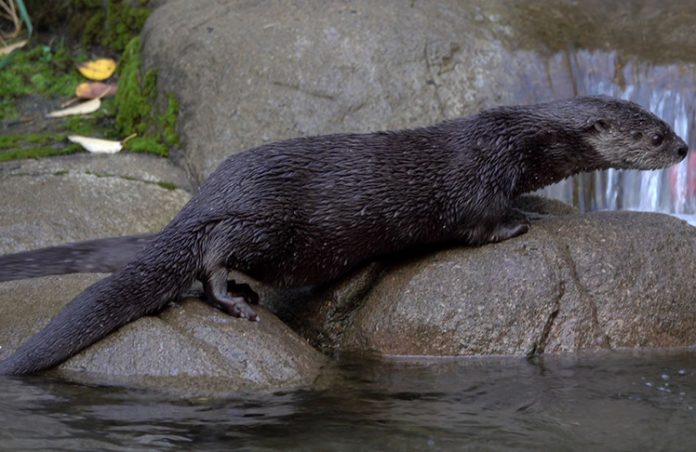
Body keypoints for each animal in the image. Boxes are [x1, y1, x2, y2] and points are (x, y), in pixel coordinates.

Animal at [0, 96, 688, 375]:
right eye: (654, 135)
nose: (684, 146)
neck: (512, 142)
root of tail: (204, 196)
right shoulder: (474, 180)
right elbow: (478, 222)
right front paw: (522, 221)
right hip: (262, 226)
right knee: (212, 259)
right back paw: (236, 300)